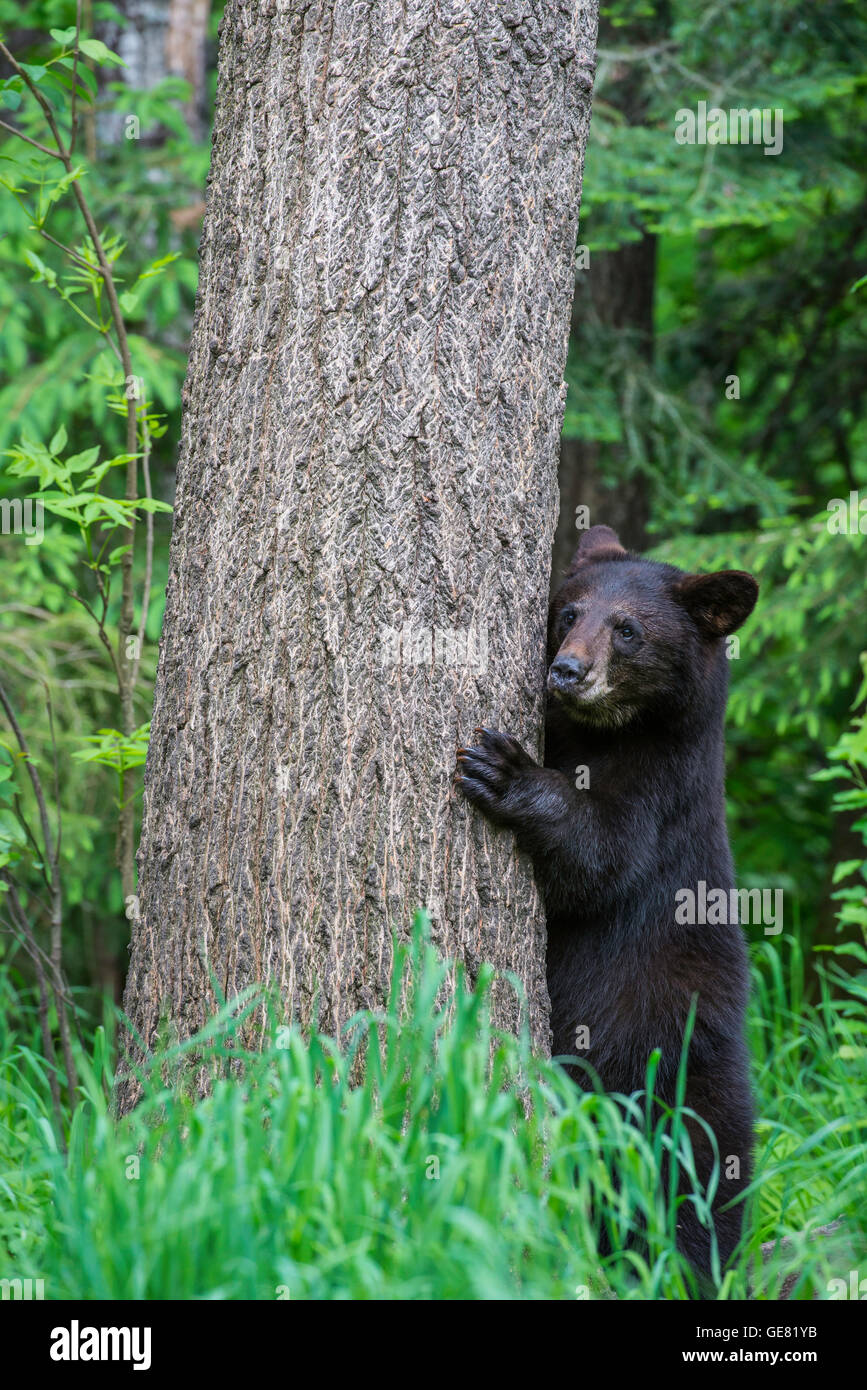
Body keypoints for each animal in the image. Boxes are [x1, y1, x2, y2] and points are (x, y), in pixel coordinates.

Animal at [454, 523, 758, 1290]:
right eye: (568, 613)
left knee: (690, 1198)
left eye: (627, 629)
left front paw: (503, 767)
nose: (567, 670)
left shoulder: (661, 795)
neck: (605, 733)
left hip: (676, 1088)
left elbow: (597, 861)